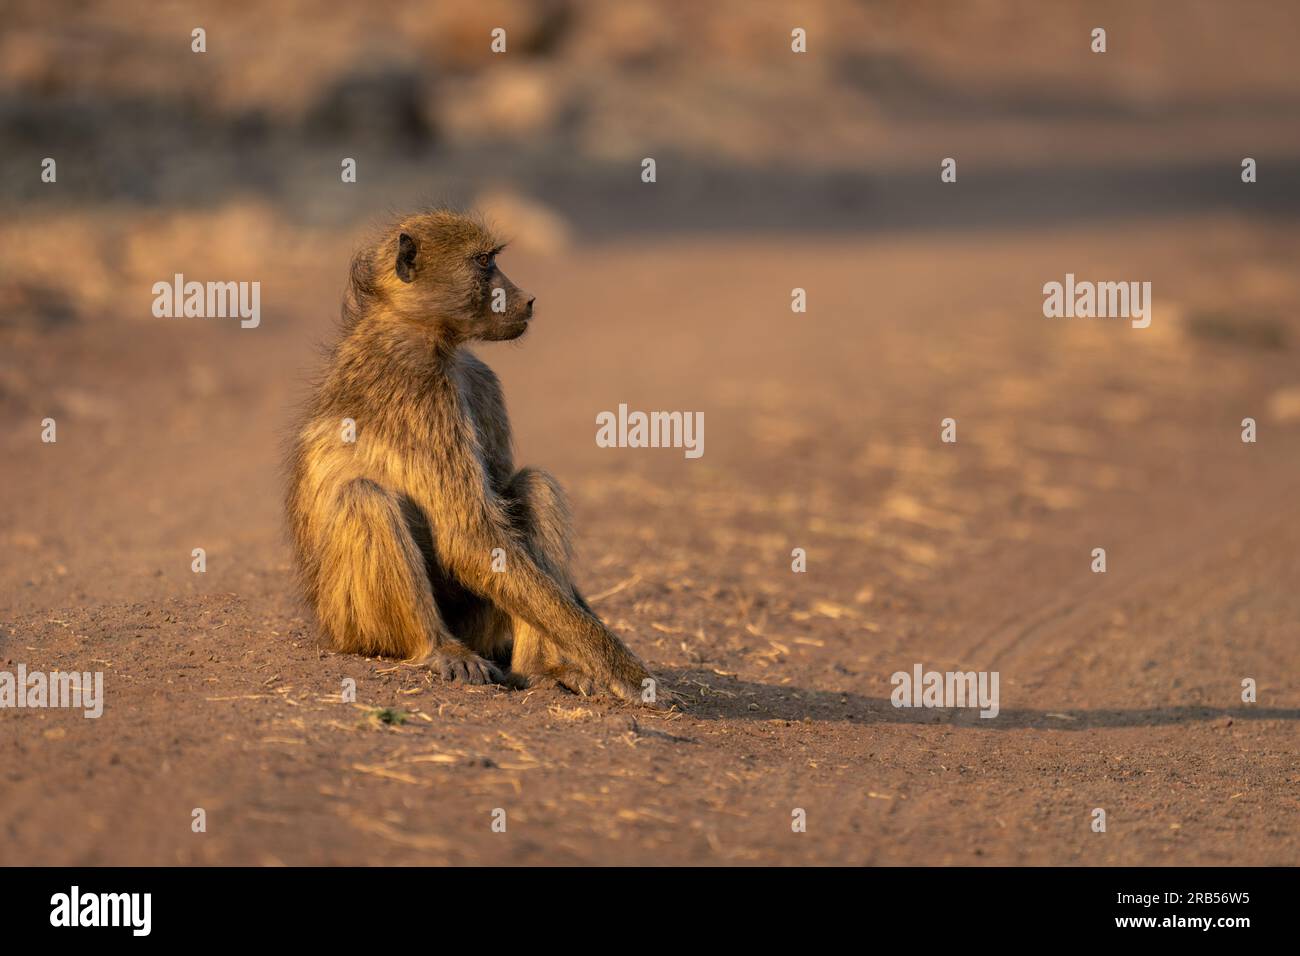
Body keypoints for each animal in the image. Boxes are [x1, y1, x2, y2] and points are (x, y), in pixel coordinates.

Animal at [286, 208, 655, 703]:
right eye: (483, 262)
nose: (528, 299)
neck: (415, 329)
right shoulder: (420, 391)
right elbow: (472, 539)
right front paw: (626, 670)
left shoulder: (481, 378)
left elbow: (497, 520)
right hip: (351, 624)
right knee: (365, 497)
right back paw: (437, 649)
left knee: (534, 486)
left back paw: (541, 667)